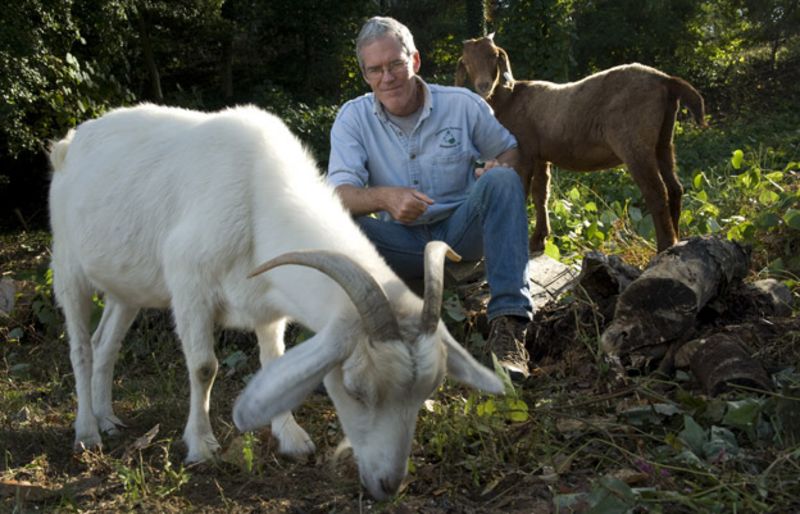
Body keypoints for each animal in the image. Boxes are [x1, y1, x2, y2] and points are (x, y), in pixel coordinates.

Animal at [48, 103, 502, 500]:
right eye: (354, 390)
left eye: (429, 389)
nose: (388, 485)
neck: (257, 194)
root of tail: (70, 142)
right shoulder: (189, 283)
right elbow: (203, 367)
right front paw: (201, 445)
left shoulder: (268, 306)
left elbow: (274, 362)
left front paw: (291, 437)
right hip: (67, 263)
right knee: (81, 348)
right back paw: (87, 432)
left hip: (126, 288)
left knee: (106, 344)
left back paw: (108, 418)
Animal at [456, 34, 707, 253]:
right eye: (467, 62)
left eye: (493, 56)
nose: (484, 86)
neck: (509, 97)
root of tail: (666, 80)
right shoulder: (541, 156)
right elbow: (541, 193)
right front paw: (538, 239)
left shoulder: (524, 152)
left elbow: (524, 192)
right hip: (663, 141)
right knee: (675, 188)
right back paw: (676, 240)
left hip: (634, 143)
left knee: (656, 192)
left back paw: (664, 246)